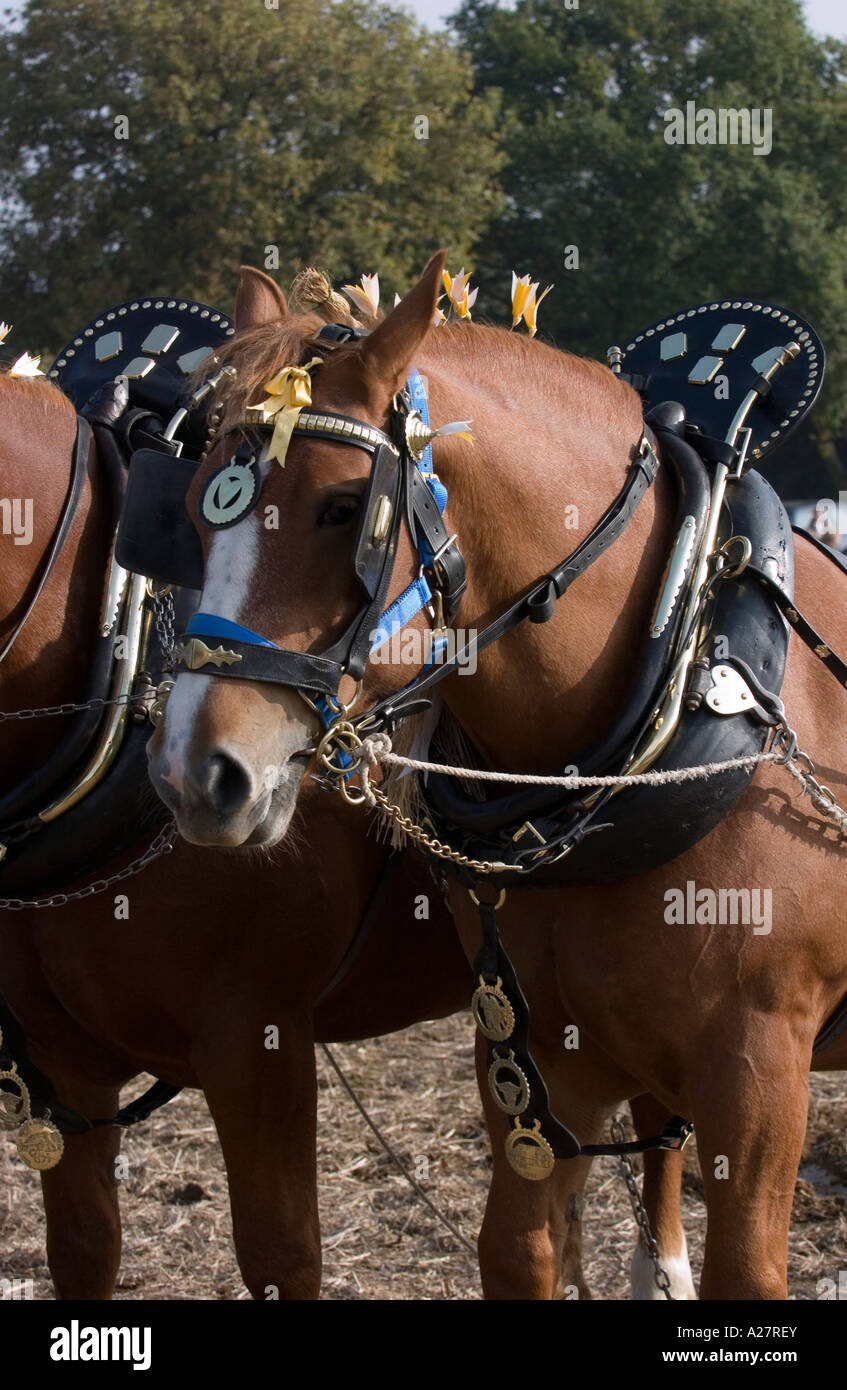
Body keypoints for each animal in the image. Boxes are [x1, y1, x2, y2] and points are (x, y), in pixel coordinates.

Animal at [148, 251, 847, 1300]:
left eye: (344, 509)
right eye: (196, 505)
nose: (197, 772)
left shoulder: (759, 1069)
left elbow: (748, 1270)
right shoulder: (529, 1049)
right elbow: (520, 1248)